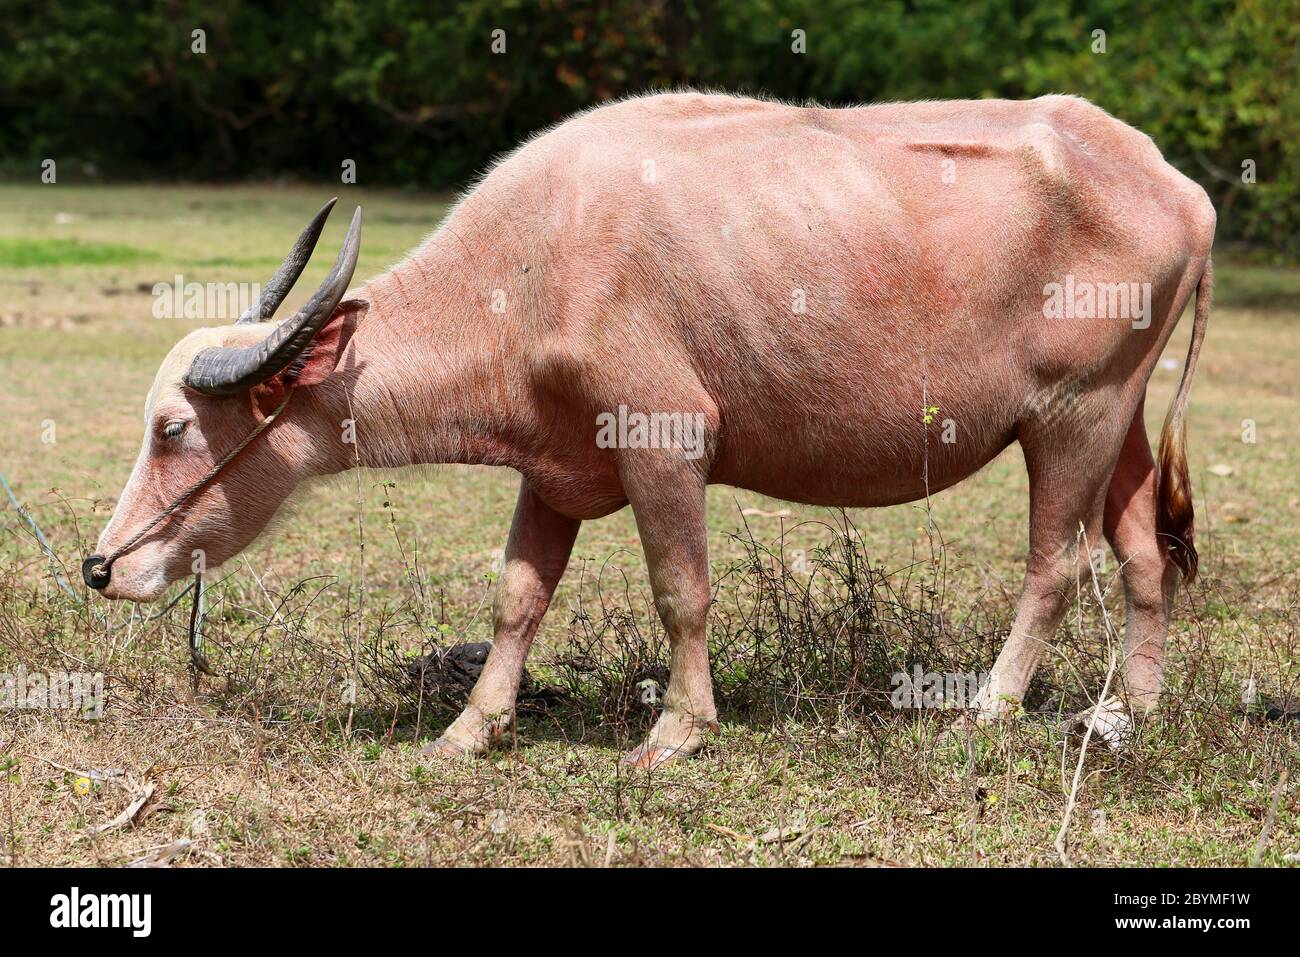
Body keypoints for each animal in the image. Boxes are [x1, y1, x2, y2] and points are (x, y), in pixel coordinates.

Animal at [85, 92, 1215, 767]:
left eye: (174, 426)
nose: (102, 566)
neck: (534, 261)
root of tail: (1179, 187)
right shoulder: (551, 470)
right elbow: (517, 597)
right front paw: (469, 728)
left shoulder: (664, 441)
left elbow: (681, 590)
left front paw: (677, 730)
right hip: (1118, 417)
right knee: (1142, 555)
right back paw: (1127, 710)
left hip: (1072, 414)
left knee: (1057, 564)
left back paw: (990, 704)